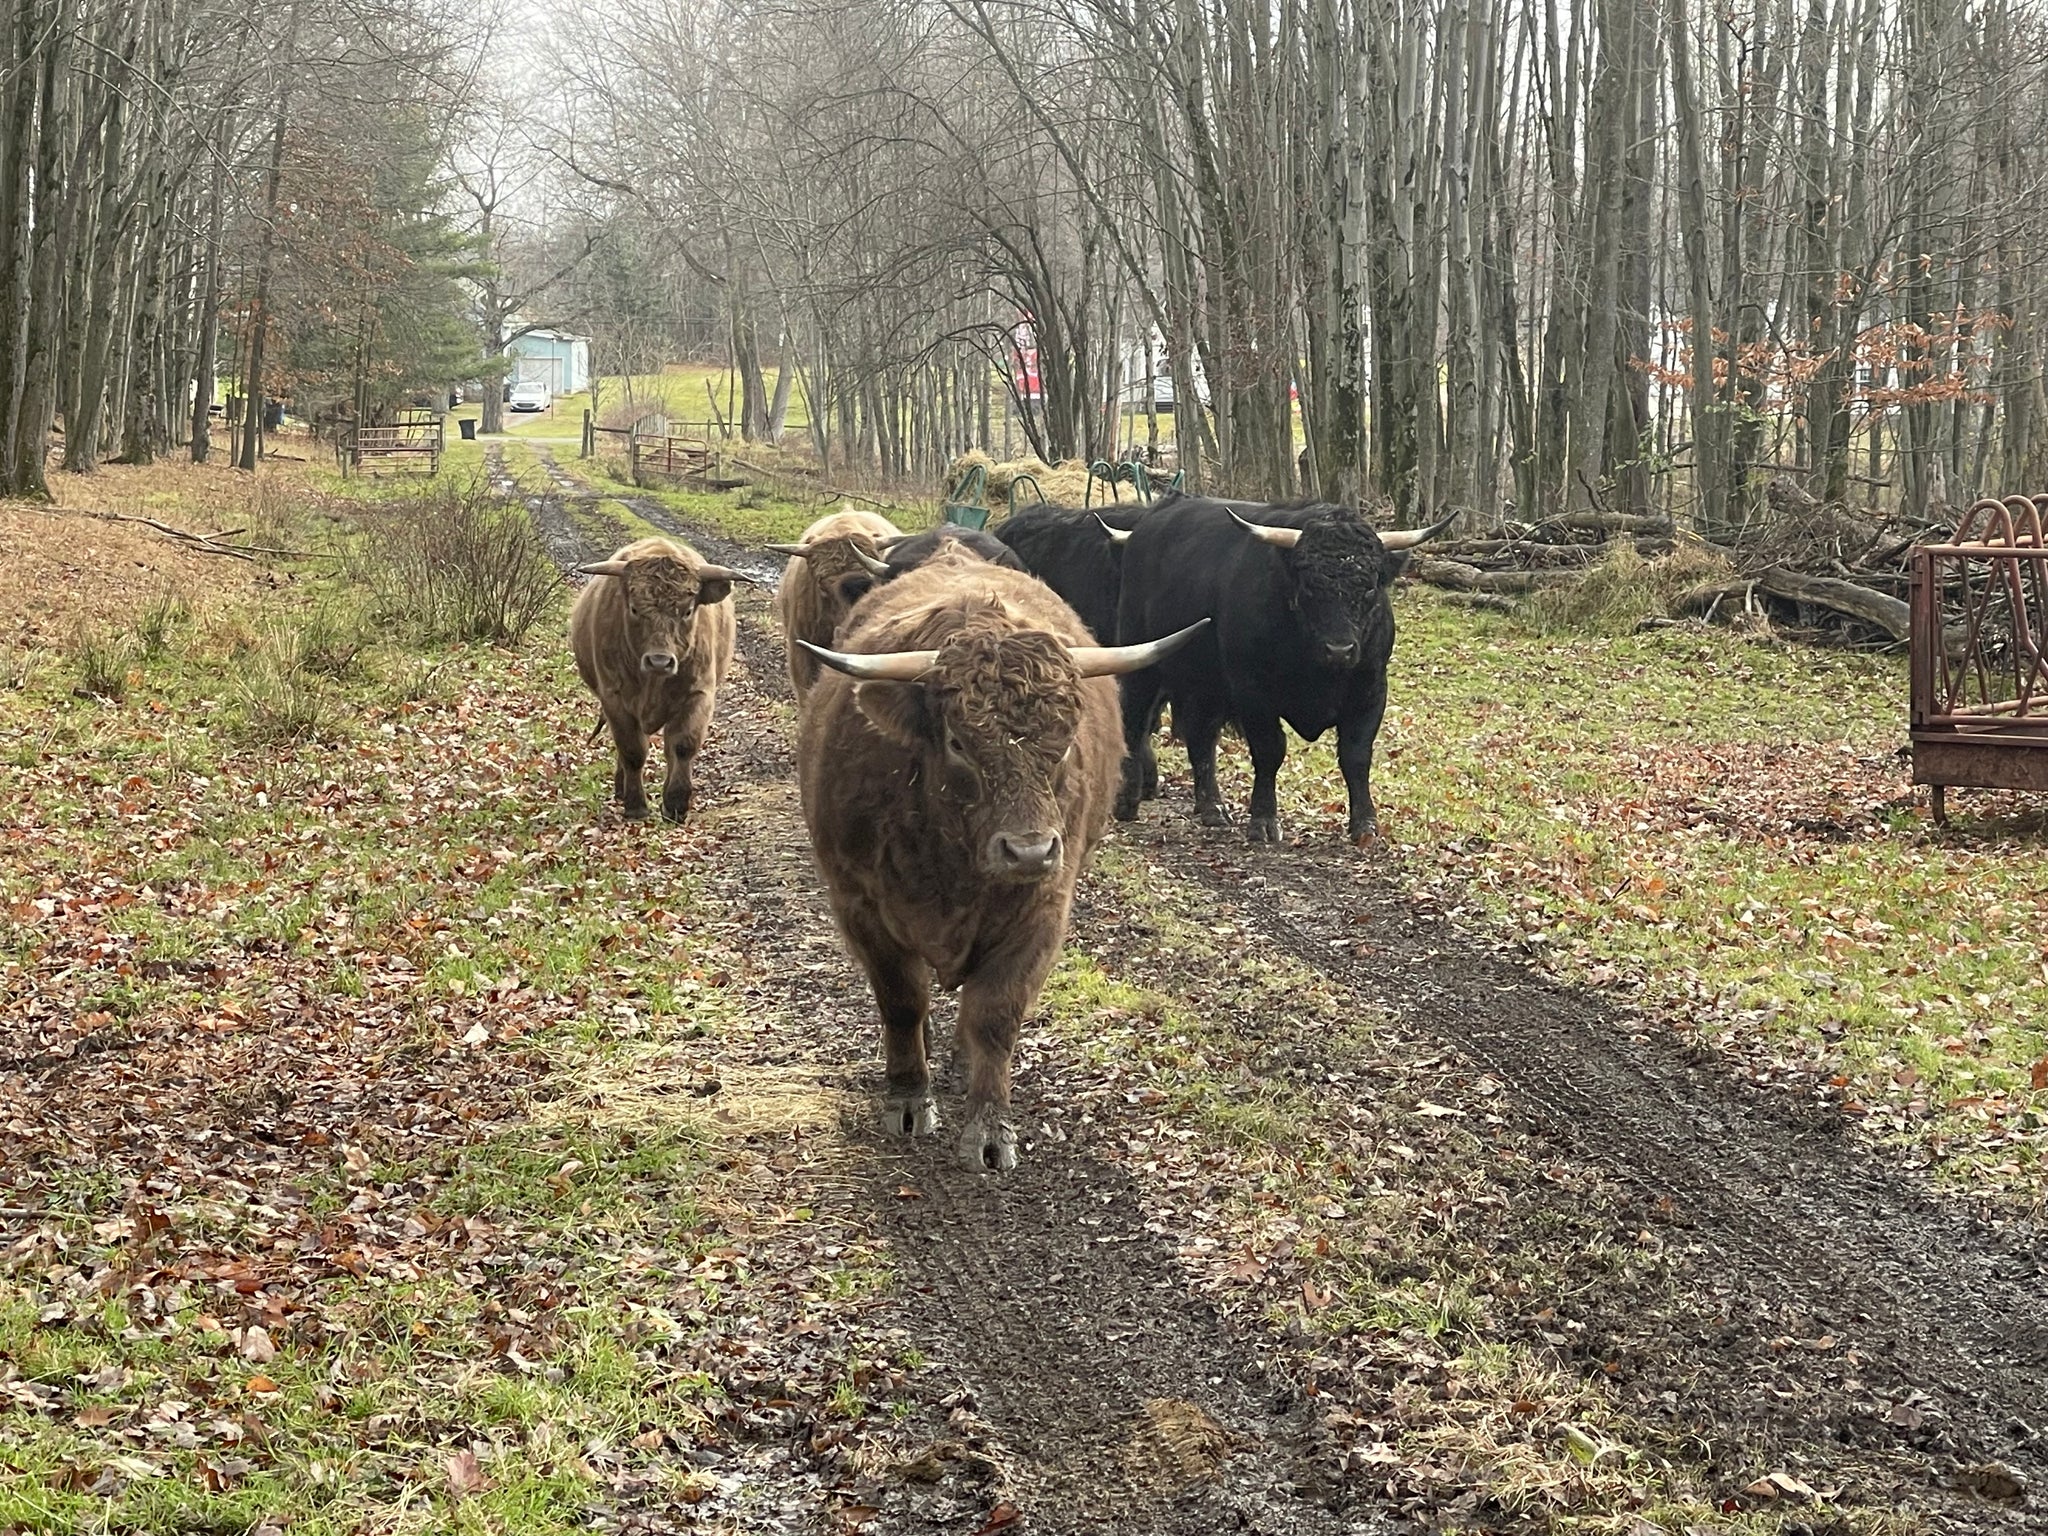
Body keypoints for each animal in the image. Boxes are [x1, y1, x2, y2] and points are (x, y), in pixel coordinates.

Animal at [570, 537, 744, 825]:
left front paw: (675, 804)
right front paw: (636, 806)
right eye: (633, 609)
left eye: (687, 611)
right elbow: (632, 751)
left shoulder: (698, 695)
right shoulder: (614, 697)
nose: (660, 661)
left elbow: (682, 747)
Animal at [797, 547, 1205, 1170]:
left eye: (1065, 739)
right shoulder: (859, 904)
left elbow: (994, 1015)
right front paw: (908, 1099)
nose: (1029, 849)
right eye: (959, 742)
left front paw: (989, 1129)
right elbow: (902, 1000)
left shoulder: (1041, 911)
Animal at [1111, 496, 1453, 845]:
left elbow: (1356, 756)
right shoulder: (1253, 691)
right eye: (1309, 587)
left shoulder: (1370, 690)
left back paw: (1212, 808)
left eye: (1369, 587)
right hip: (1141, 661)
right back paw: (1127, 800)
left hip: (1205, 684)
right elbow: (1269, 750)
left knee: (1201, 736)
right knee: (1135, 722)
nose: (1340, 650)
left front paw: (1365, 825)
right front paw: (1263, 820)